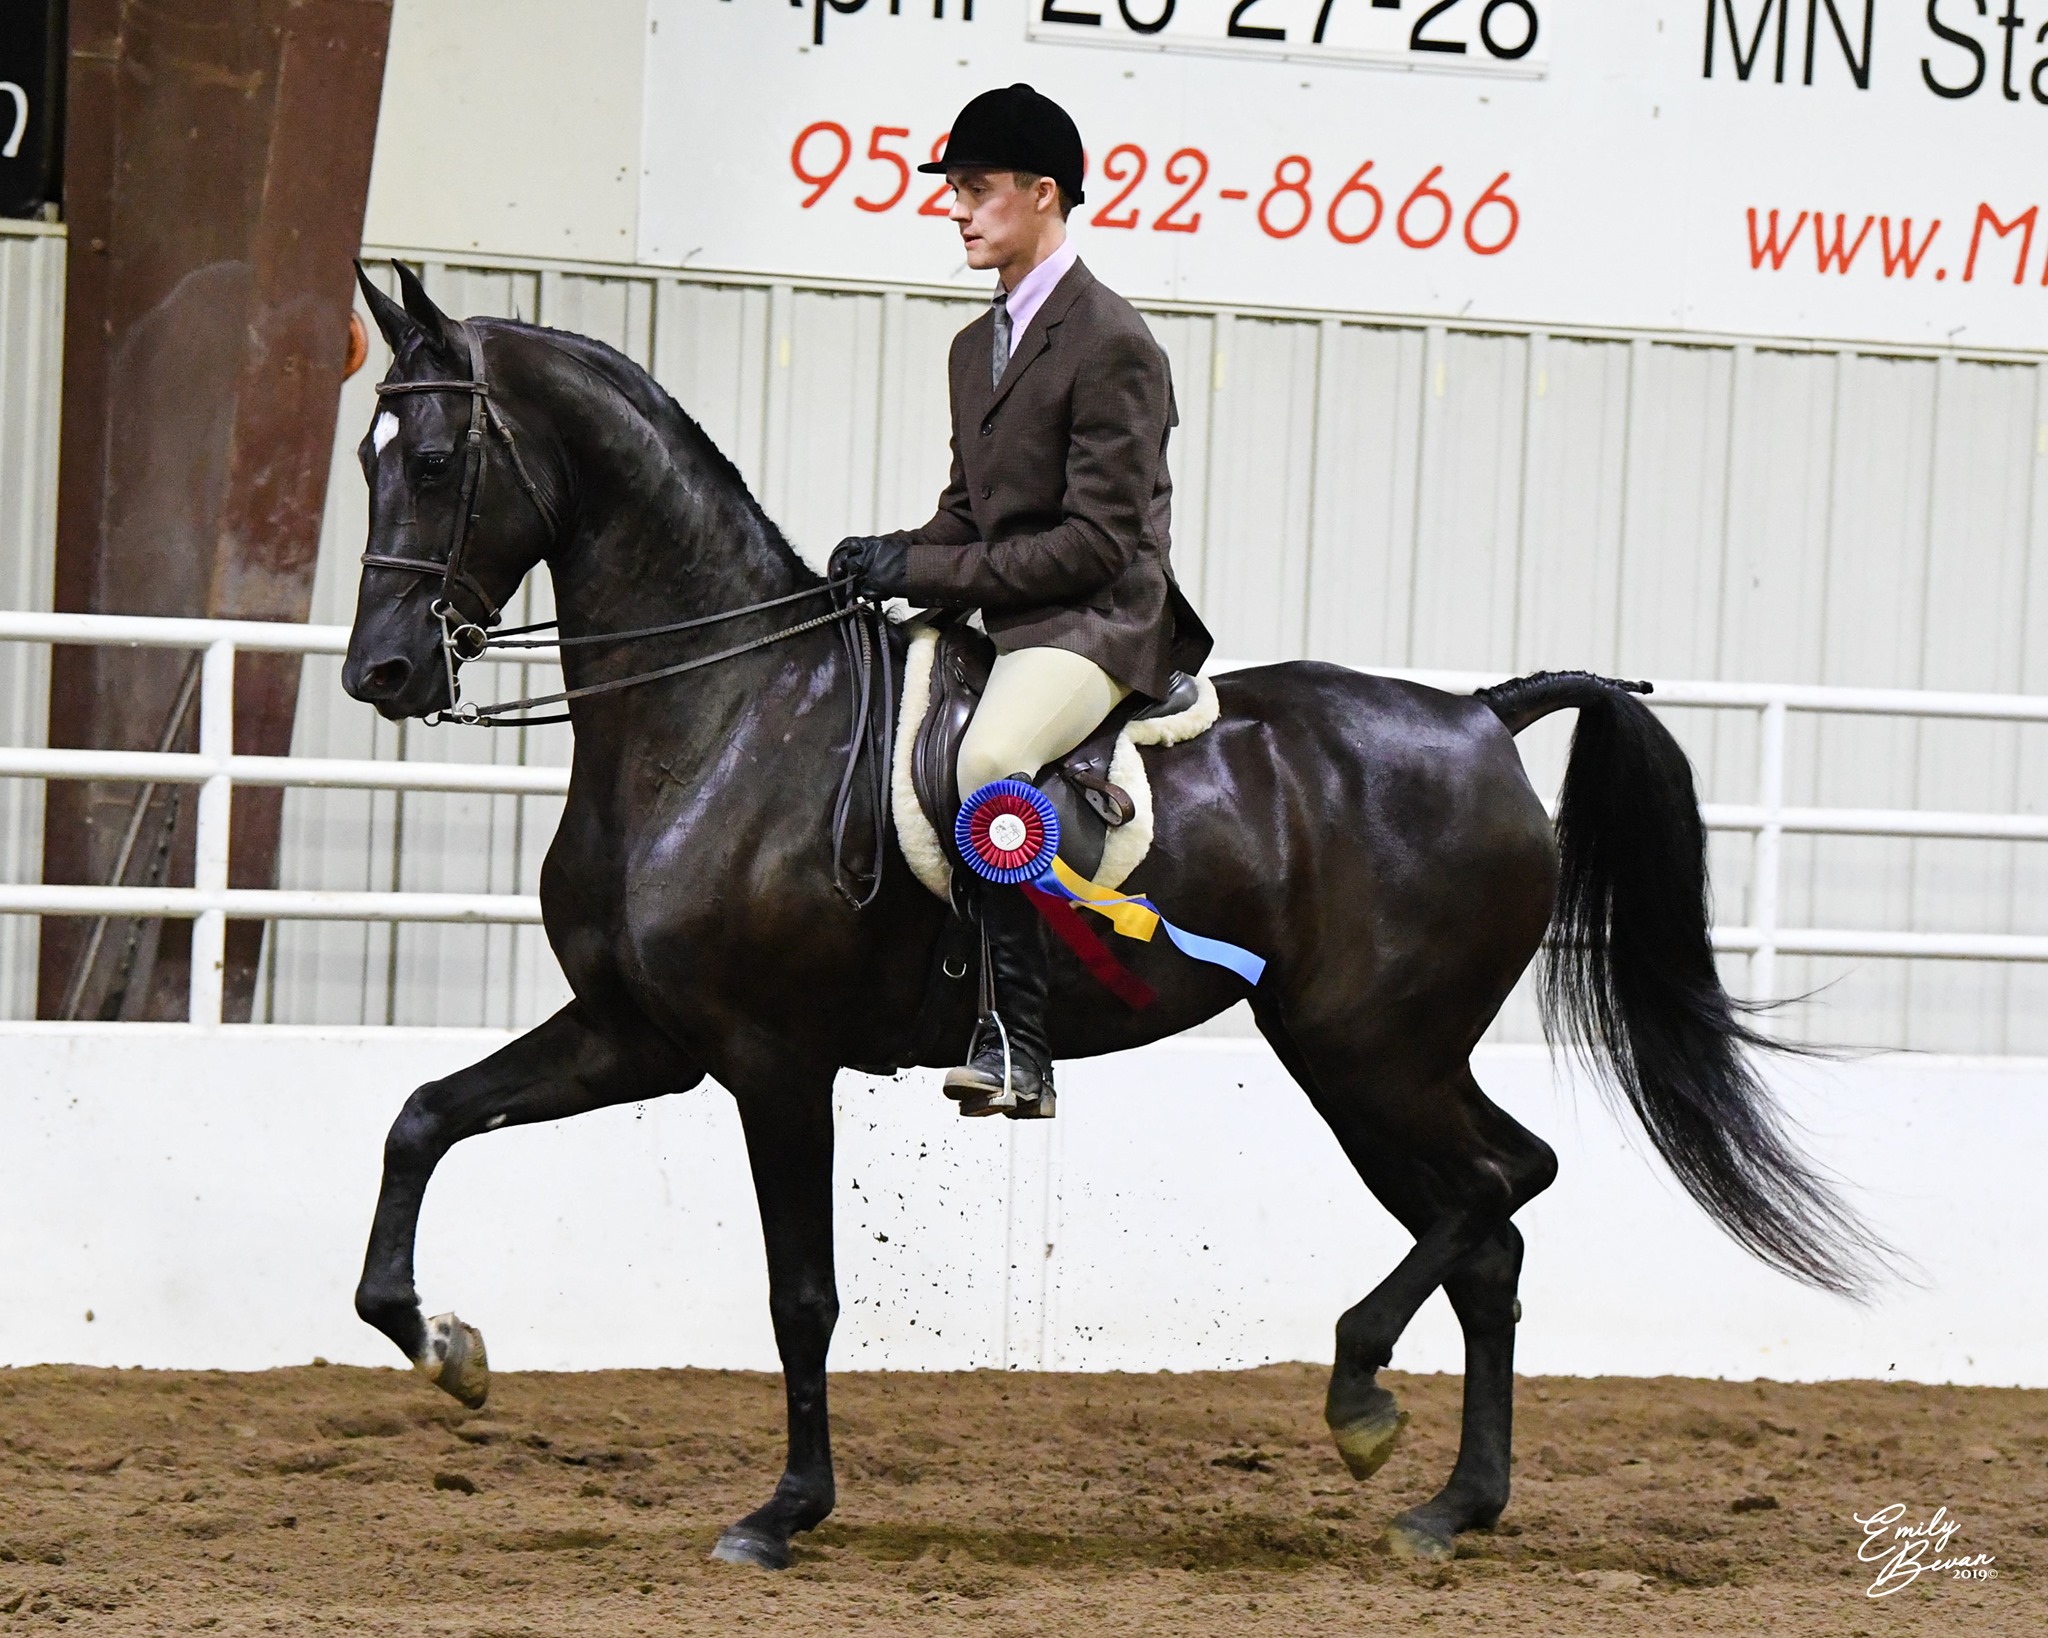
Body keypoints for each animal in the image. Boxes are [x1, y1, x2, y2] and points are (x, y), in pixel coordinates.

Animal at [339, 263, 1879, 1570]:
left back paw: (1358, 1395)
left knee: (1506, 1183)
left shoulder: (771, 1060)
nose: (382, 674)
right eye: (366, 459)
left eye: (434, 463)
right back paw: (1452, 1504)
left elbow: (800, 1296)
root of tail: (1481, 716)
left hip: (1371, 1049)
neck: (723, 713)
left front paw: (782, 1513)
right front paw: (445, 1345)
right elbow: (420, 1116)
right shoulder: (638, 1036)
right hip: (1365, 1065)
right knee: (1485, 1225)